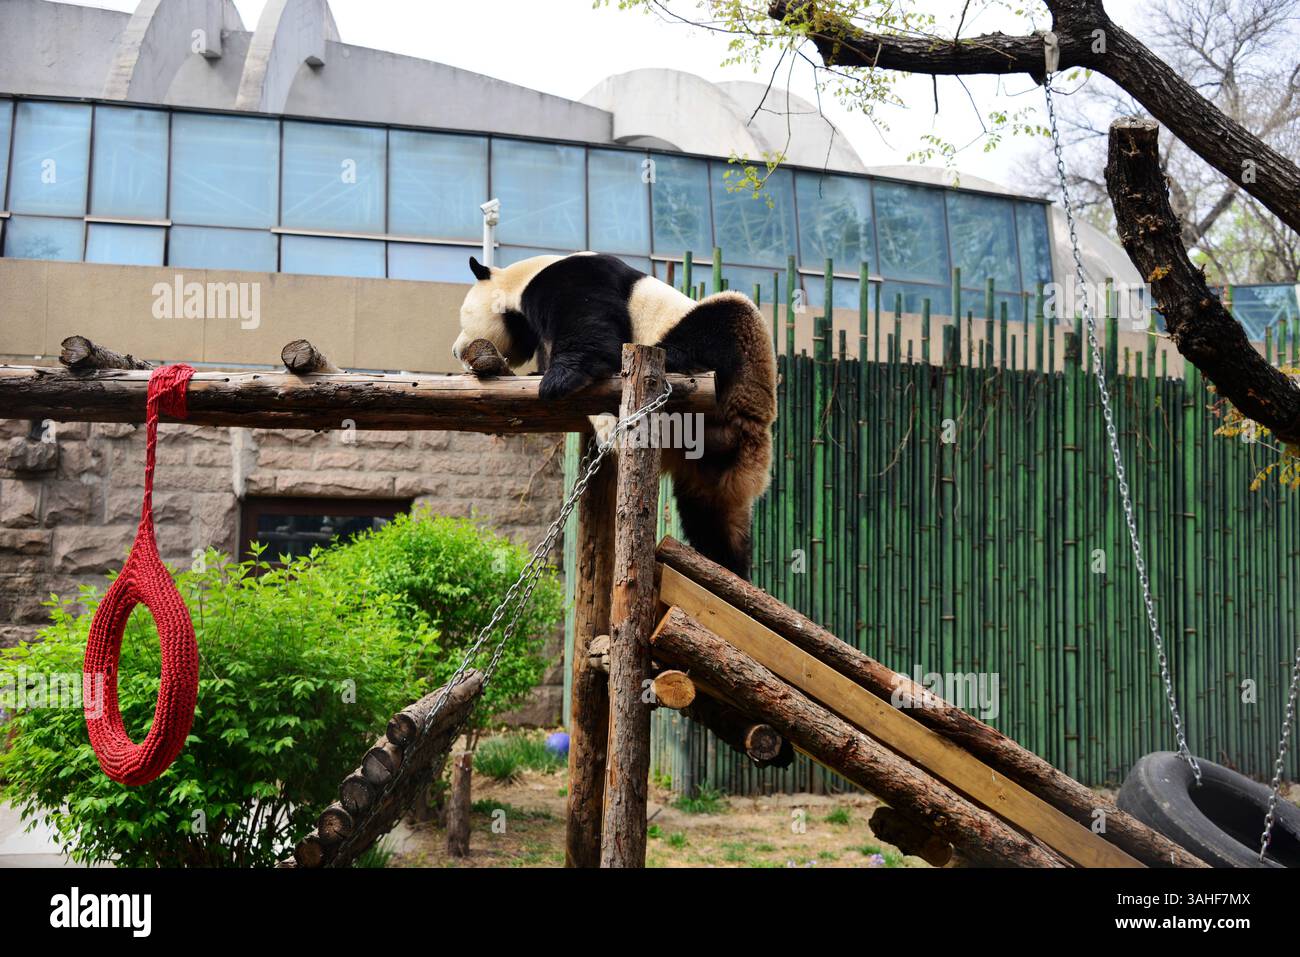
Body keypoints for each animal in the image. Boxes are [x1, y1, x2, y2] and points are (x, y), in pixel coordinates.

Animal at [453, 252, 776, 579]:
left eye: (465, 321)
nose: (456, 350)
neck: (517, 281)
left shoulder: (572, 279)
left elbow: (590, 324)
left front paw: (558, 379)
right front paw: (537, 373)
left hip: (745, 360)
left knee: (724, 317)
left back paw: (665, 354)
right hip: (705, 477)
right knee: (714, 524)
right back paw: (728, 567)